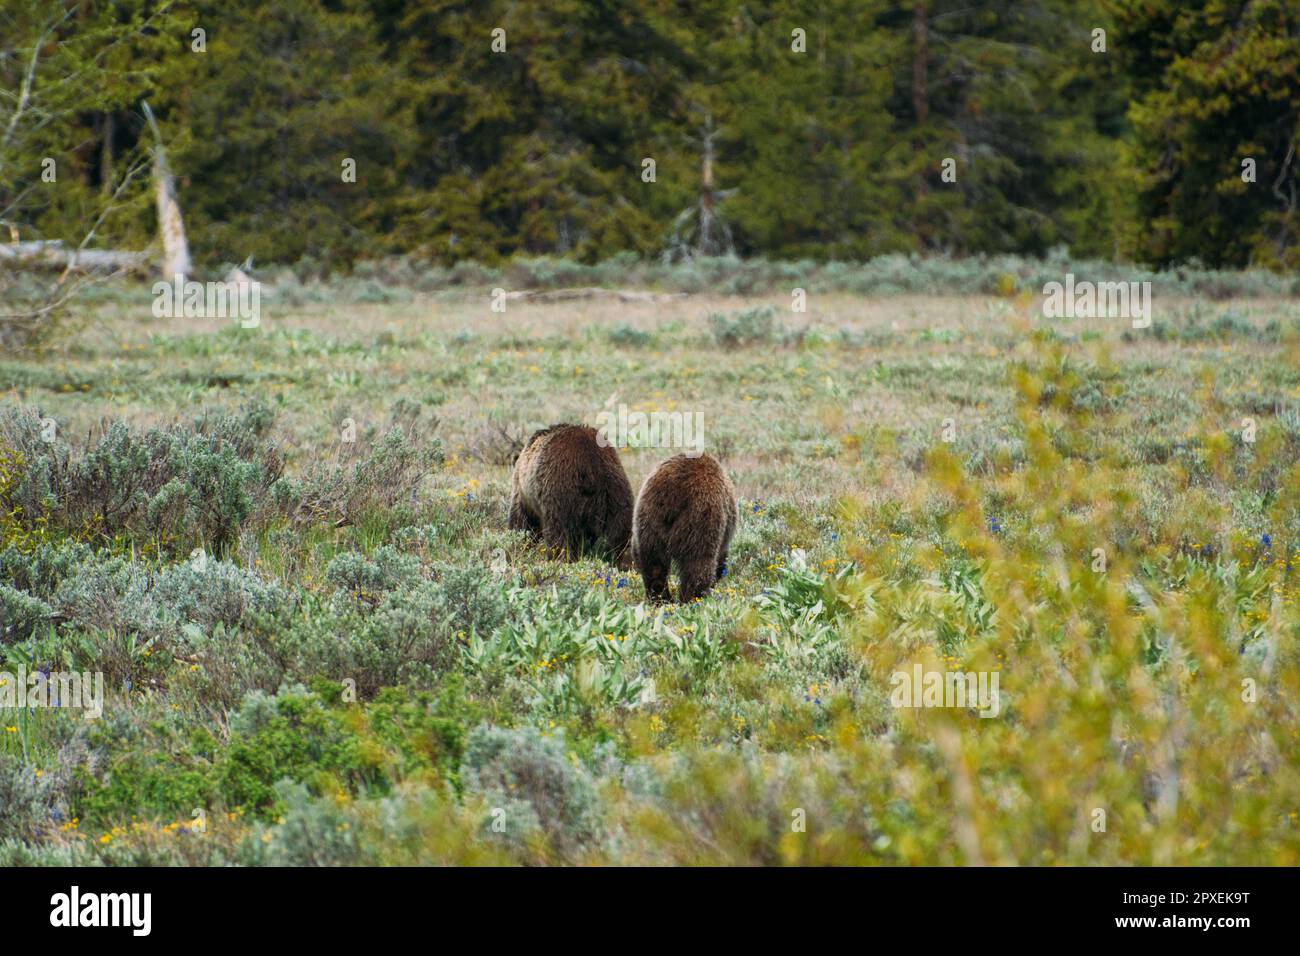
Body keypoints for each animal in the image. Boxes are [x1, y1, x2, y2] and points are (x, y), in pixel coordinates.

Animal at [508, 423, 634, 565]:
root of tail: (591, 468)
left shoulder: (523, 491)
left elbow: (522, 518)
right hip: (616, 491)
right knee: (619, 531)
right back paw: (621, 559)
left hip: (560, 493)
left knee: (561, 533)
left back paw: (561, 557)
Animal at [631, 453, 738, 603]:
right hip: (700, 518)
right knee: (698, 563)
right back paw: (692, 599)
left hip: (649, 519)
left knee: (653, 564)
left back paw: (660, 598)